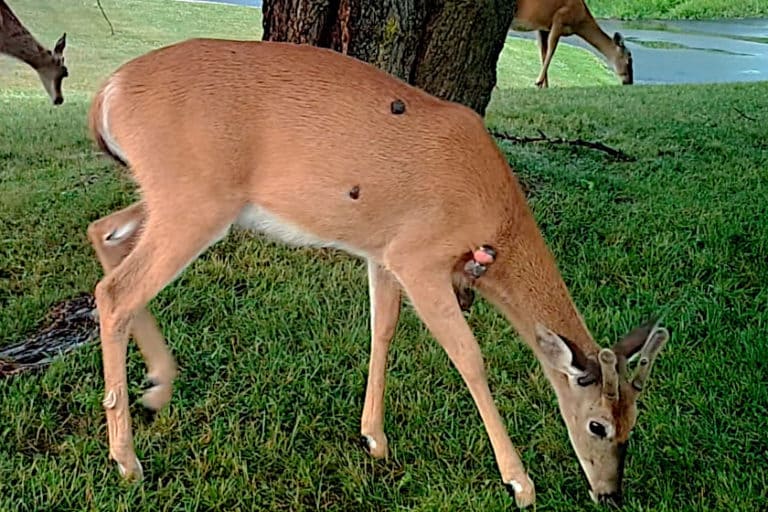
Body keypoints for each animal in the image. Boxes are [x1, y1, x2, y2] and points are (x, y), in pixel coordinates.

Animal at [84, 38, 667, 508]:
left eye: (636, 421)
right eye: (597, 424)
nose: (610, 494)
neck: (495, 219)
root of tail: (107, 92)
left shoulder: (383, 252)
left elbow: (381, 331)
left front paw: (374, 440)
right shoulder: (419, 254)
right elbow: (469, 357)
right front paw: (520, 483)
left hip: (172, 198)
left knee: (103, 232)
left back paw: (158, 387)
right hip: (195, 200)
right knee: (114, 292)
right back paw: (127, 460)